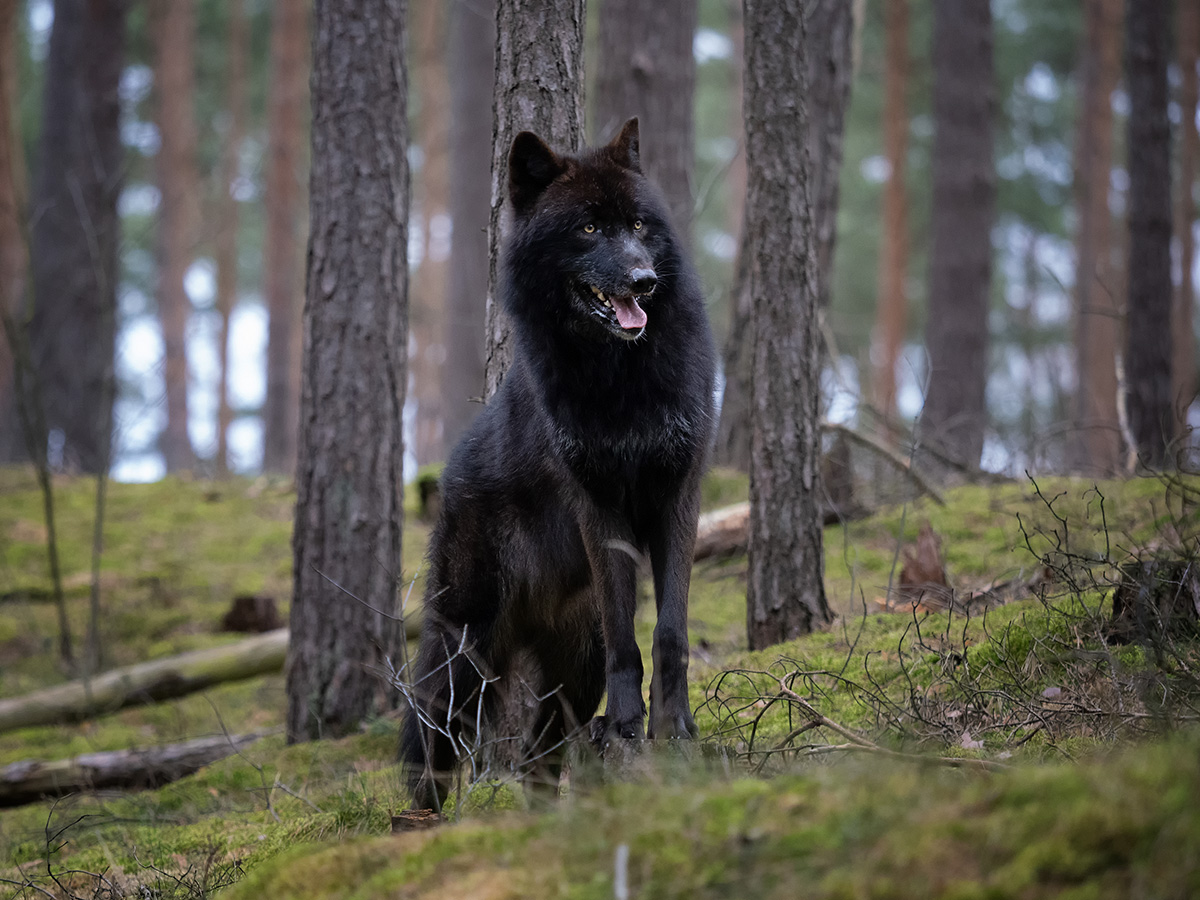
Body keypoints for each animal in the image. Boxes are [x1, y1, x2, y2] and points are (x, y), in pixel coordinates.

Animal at [398, 120, 715, 811]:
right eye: (590, 228)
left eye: (639, 225)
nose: (643, 280)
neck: (621, 378)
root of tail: (449, 477)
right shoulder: (597, 502)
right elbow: (628, 635)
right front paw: (627, 725)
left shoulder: (680, 490)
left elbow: (671, 632)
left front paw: (674, 727)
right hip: (465, 645)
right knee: (432, 734)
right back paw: (420, 820)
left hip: (572, 667)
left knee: (539, 758)